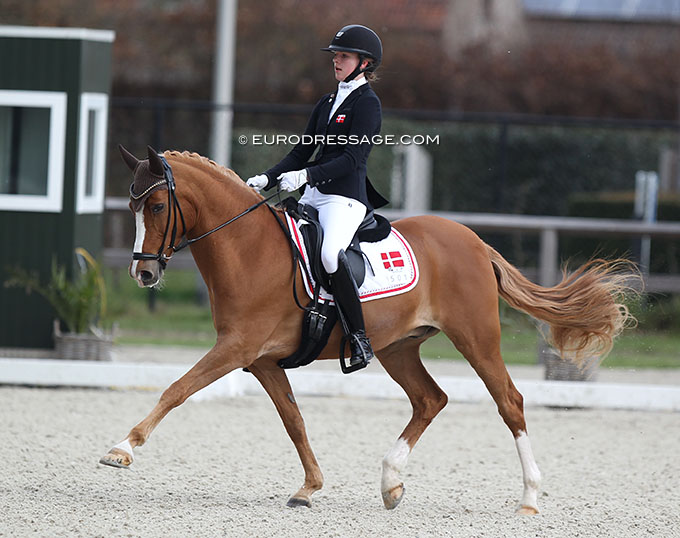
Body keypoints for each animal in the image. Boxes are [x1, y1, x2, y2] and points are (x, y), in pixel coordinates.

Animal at [100, 145, 636, 515]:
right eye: (130, 208)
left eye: (158, 207)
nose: (142, 273)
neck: (248, 248)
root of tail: (473, 240)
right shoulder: (262, 360)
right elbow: (294, 421)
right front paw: (309, 488)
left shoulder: (235, 348)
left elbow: (177, 389)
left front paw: (121, 449)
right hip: (398, 347)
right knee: (430, 399)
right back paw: (391, 482)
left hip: (476, 338)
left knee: (509, 401)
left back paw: (528, 499)